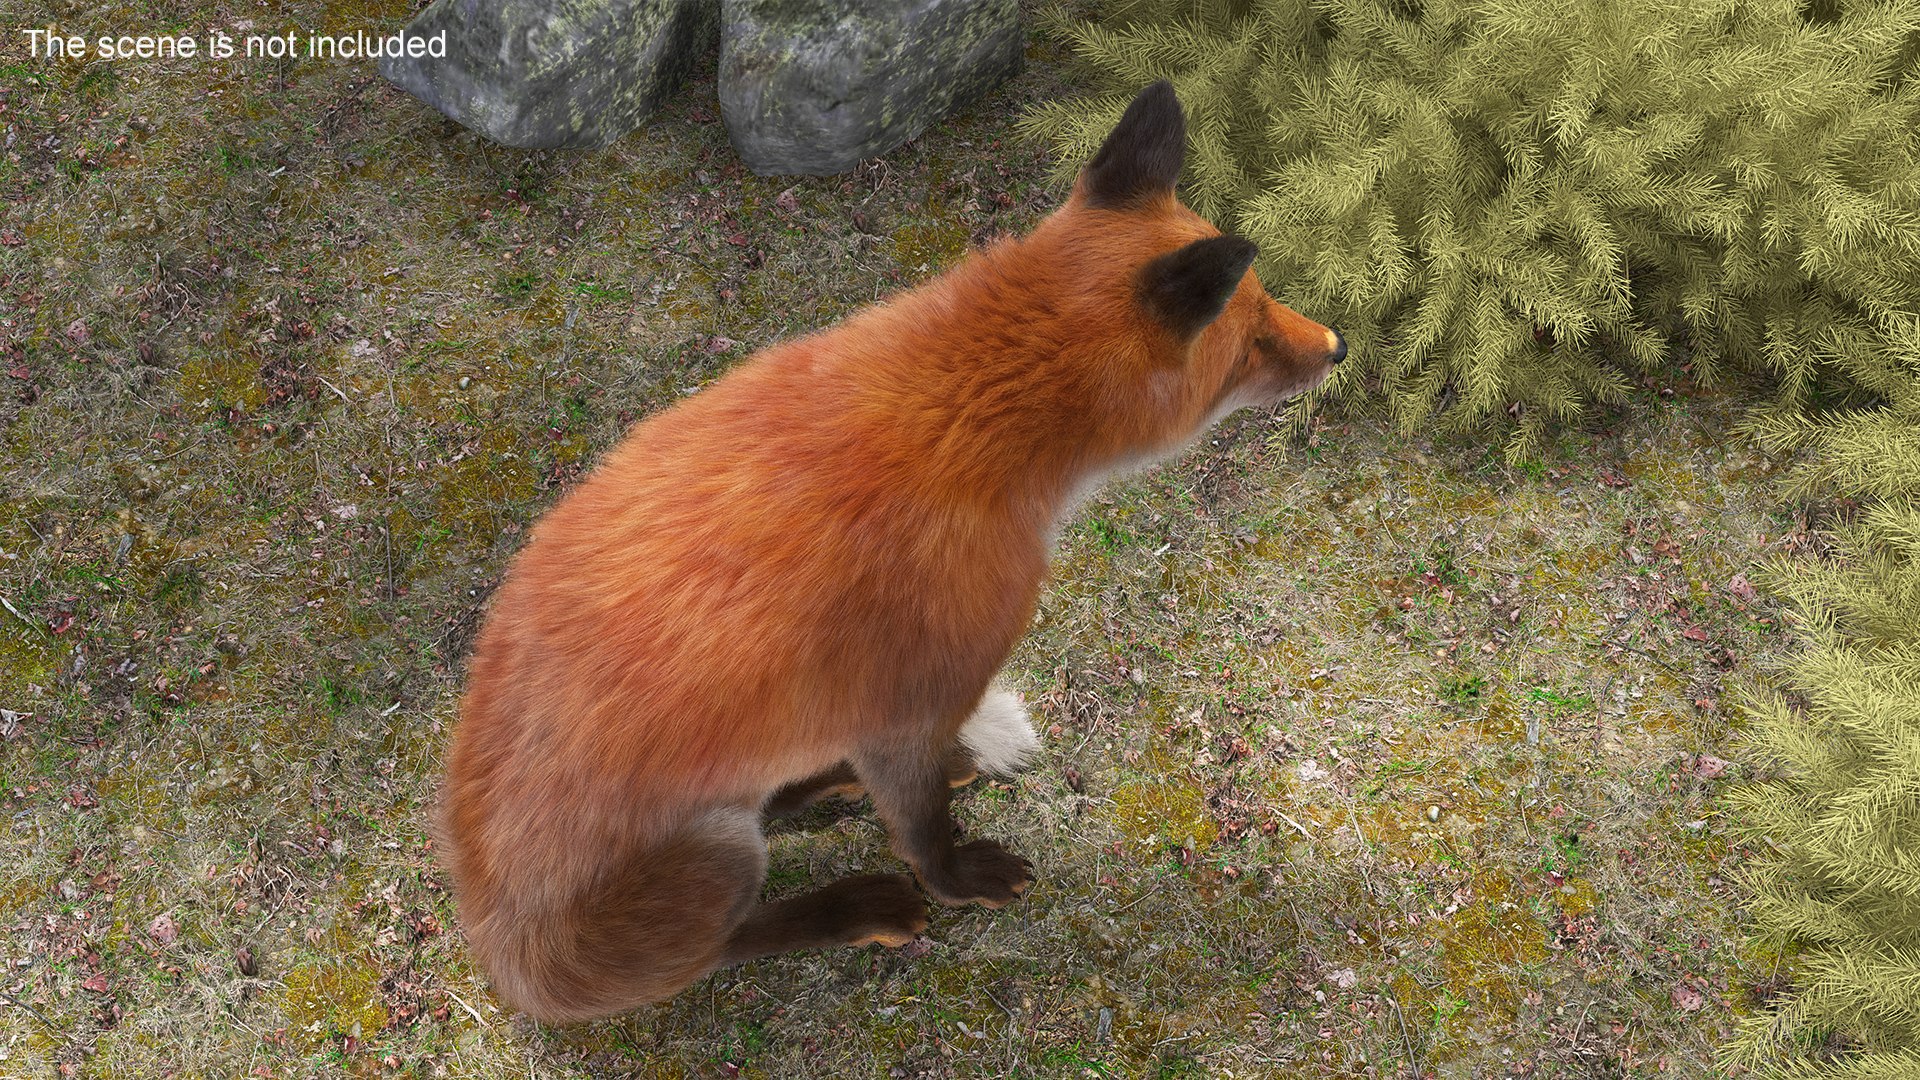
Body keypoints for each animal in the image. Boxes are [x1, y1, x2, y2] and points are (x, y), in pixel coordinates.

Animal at [442, 81, 1346, 1023]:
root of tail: (498, 952)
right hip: (719, 856)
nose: (1339, 346)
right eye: (1252, 338)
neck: (966, 420)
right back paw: (851, 907)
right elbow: (923, 834)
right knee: (725, 943)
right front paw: (958, 881)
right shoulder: (911, 702)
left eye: (1270, 304)